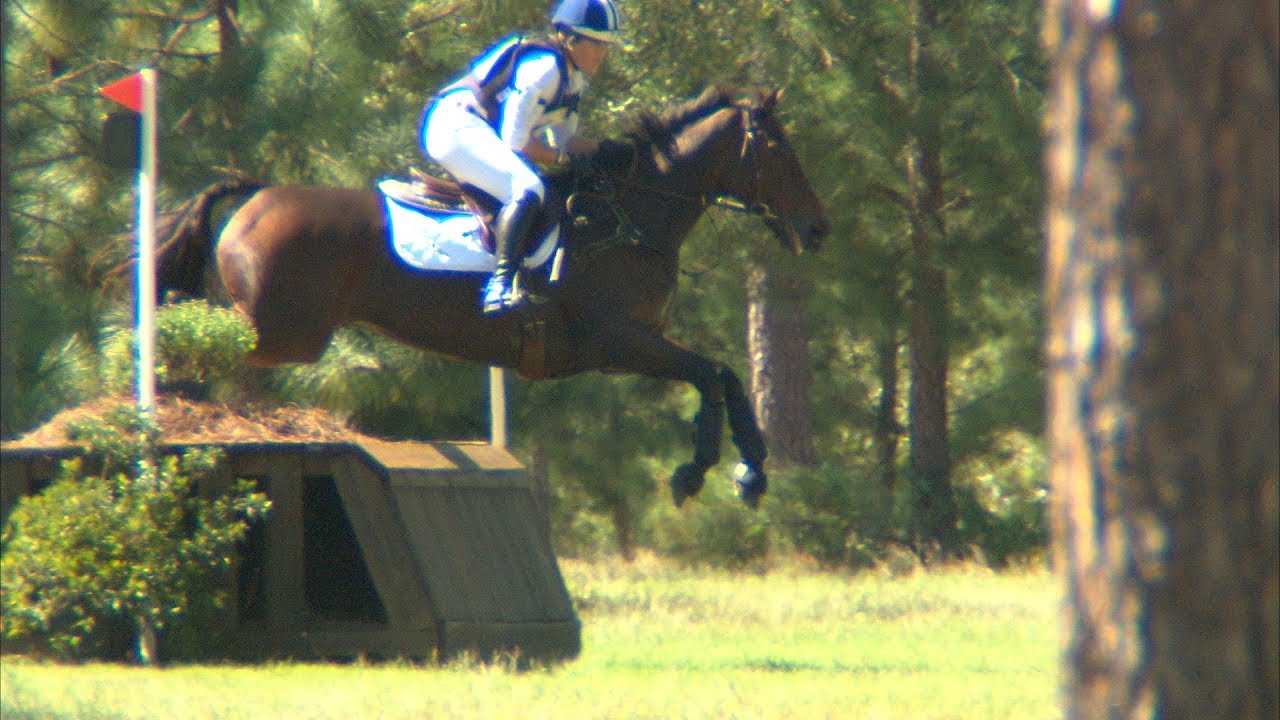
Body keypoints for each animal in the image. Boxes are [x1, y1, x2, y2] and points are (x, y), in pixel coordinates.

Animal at [151, 86, 829, 508]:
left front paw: (750, 472)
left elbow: (724, 375)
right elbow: (711, 374)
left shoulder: (634, 344)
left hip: (277, 333)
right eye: (778, 151)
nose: (818, 229)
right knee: (196, 354)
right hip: (280, 334)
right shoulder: (618, 343)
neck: (631, 216)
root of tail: (254, 196)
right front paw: (700, 472)